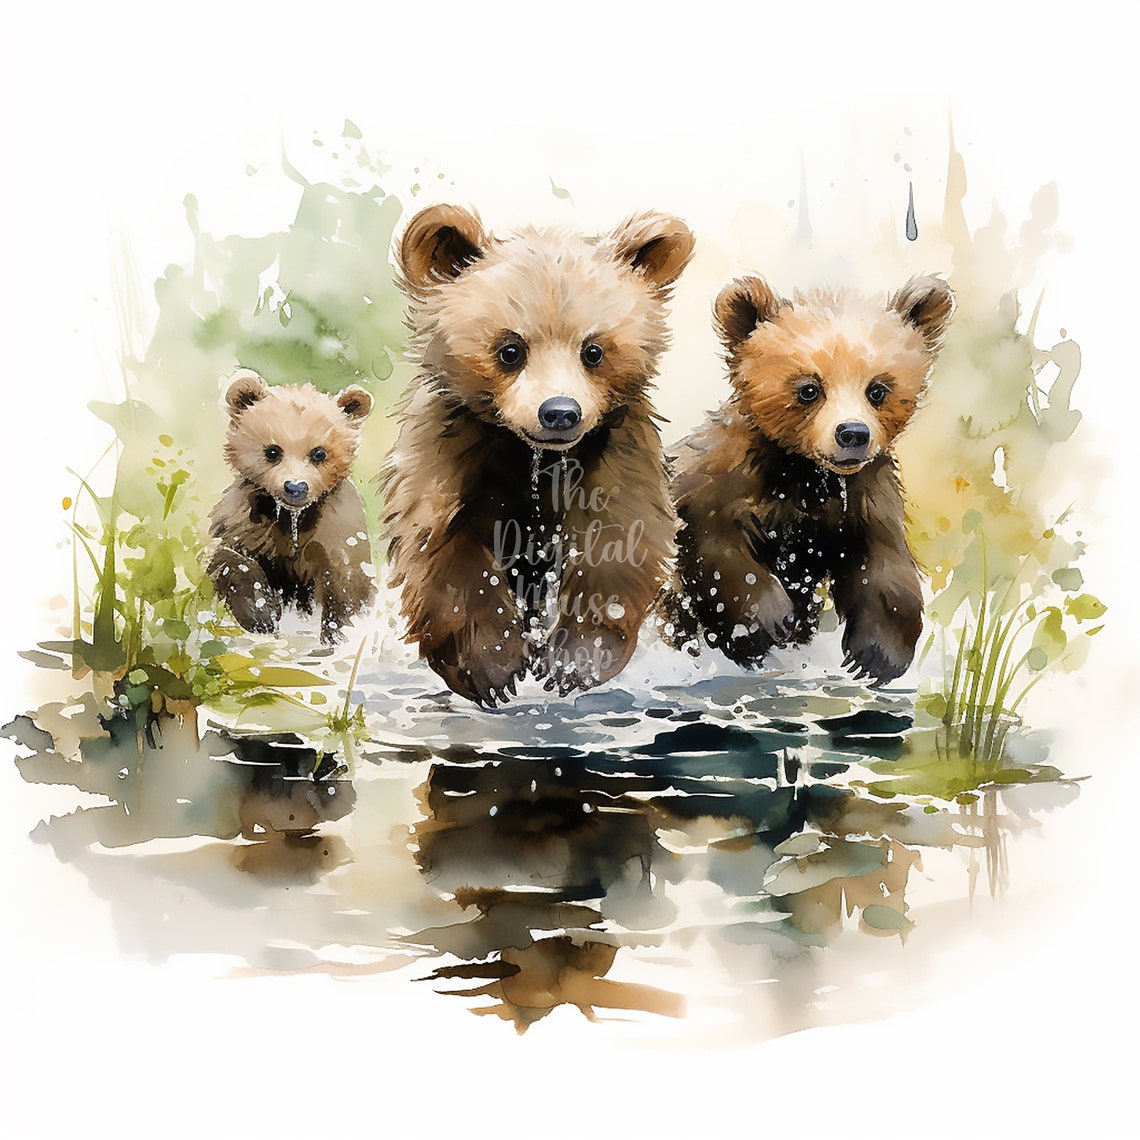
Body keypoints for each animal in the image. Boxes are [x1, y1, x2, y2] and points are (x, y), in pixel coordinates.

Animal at [207, 370, 376, 645]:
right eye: (272, 451)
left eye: (319, 453)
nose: (295, 487)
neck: (293, 518)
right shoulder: (245, 525)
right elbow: (229, 560)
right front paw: (260, 613)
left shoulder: (336, 532)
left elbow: (347, 586)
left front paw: (337, 633)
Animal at [380, 204, 695, 707]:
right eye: (510, 349)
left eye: (594, 350)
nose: (560, 412)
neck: (533, 458)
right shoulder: (449, 456)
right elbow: (444, 553)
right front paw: (492, 666)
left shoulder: (614, 455)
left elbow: (620, 544)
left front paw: (574, 660)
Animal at [663, 273, 953, 684]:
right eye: (809, 389)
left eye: (878, 389)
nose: (852, 434)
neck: (806, 477)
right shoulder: (717, 487)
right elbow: (717, 549)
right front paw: (767, 621)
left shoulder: (862, 503)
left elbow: (886, 567)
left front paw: (877, 656)